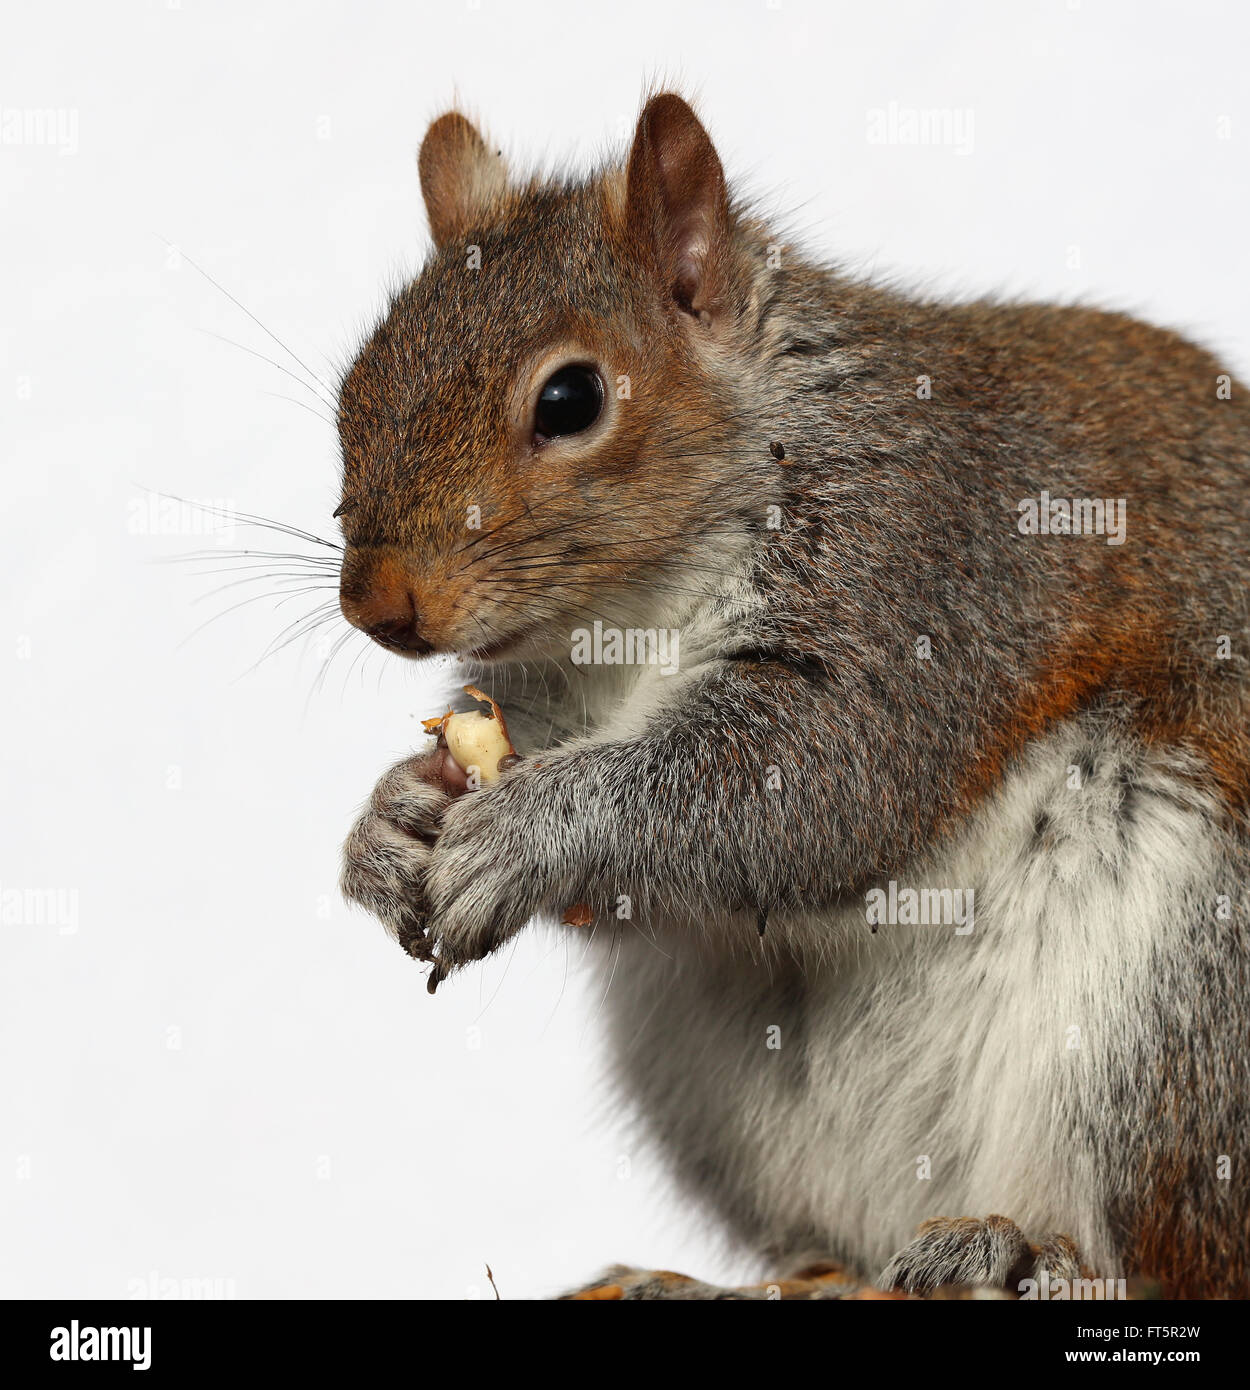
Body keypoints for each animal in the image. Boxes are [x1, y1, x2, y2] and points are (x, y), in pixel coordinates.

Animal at [336, 93, 1250, 1299]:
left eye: (570, 399)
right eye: (356, 386)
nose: (374, 604)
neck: (633, 610)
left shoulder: (922, 571)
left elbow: (812, 784)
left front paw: (529, 830)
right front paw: (389, 822)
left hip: (1180, 1002)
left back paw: (1024, 1251)